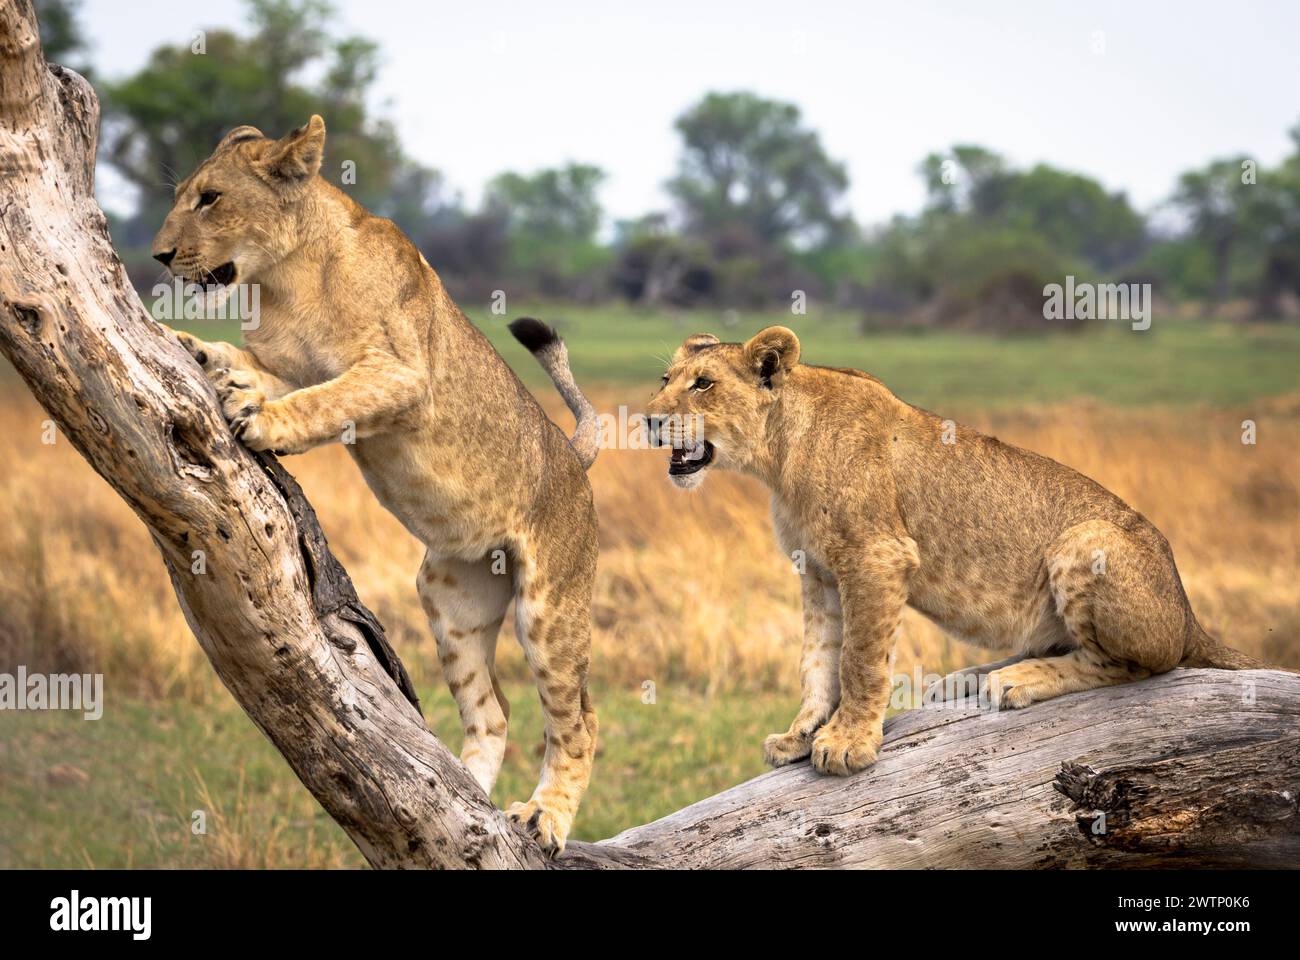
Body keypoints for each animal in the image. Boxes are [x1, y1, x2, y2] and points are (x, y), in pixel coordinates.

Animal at [152, 116, 599, 854]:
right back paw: (468, 798)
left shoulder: (399, 374)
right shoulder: (286, 363)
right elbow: (259, 367)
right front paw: (192, 348)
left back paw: (544, 818)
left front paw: (260, 419)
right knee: (493, 710)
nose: (159, 257)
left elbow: (325, 400)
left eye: (210, 198)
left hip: (550, 607)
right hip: (450, 596)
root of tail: (571, 458)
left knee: (580, 721)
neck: (285, 278)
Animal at [645, 326, 1264, 776]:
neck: (778, 456)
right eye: (666, 378)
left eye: (703, 385)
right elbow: (817, 660)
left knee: (1133, 666)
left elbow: (858, 659)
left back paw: (1019, 680)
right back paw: (966, 678)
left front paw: (847, 743)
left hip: (1088, 539)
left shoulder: (877, 556)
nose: (649, 419)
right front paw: (801, 734)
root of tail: (1188, 614)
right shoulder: (817, 571)